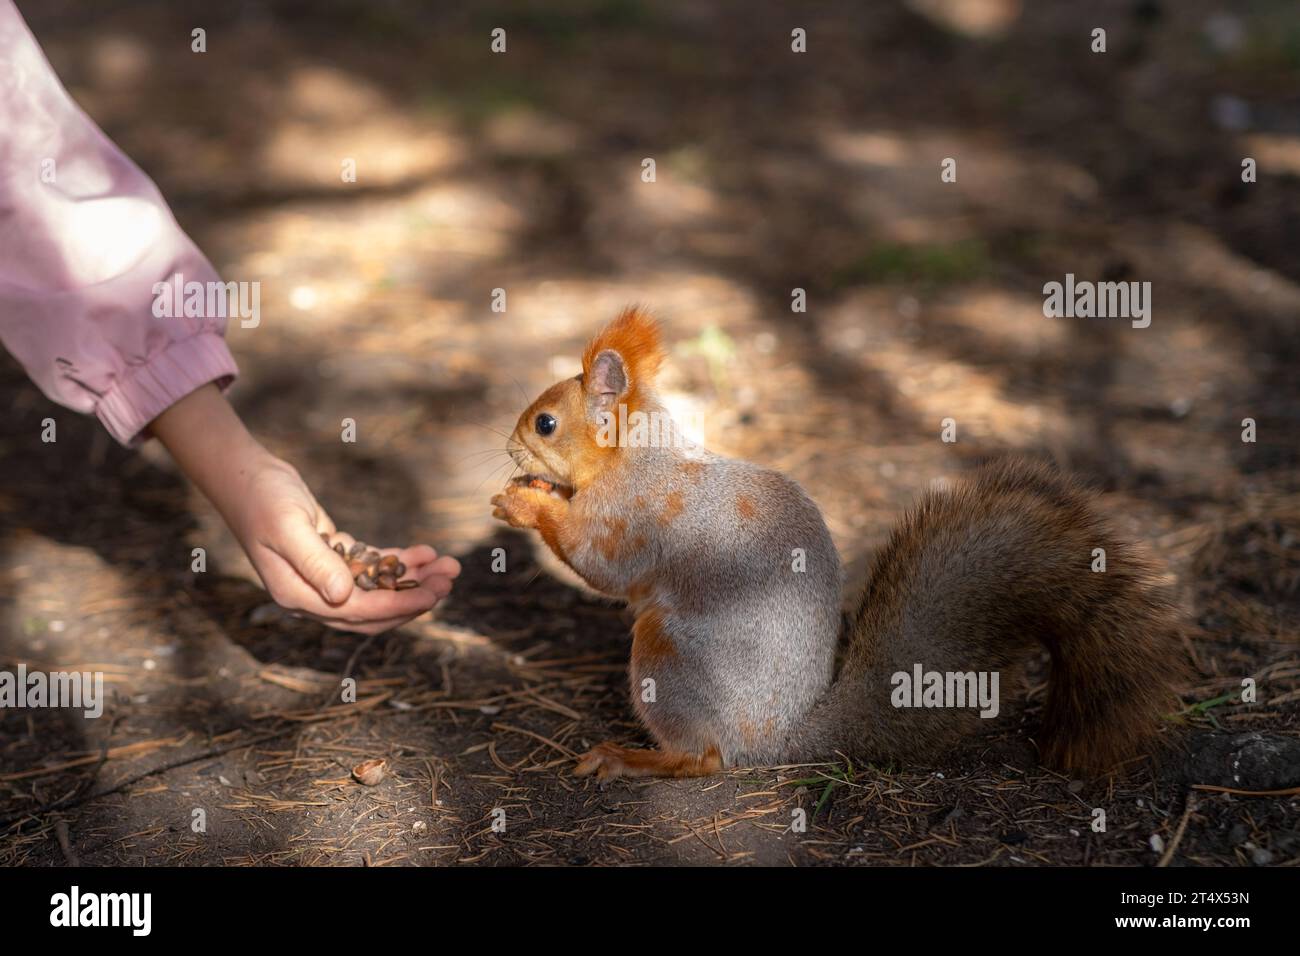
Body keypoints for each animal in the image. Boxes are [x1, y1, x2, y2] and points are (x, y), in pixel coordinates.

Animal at [491, 307, 1187, 780]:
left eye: (546, 423)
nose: (509, 447)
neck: (638, 457)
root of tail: (780, 741)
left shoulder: (633, 515)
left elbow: (600, 563)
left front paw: (524, 503)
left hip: (668, 658)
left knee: (705, 759)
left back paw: (632, 758)